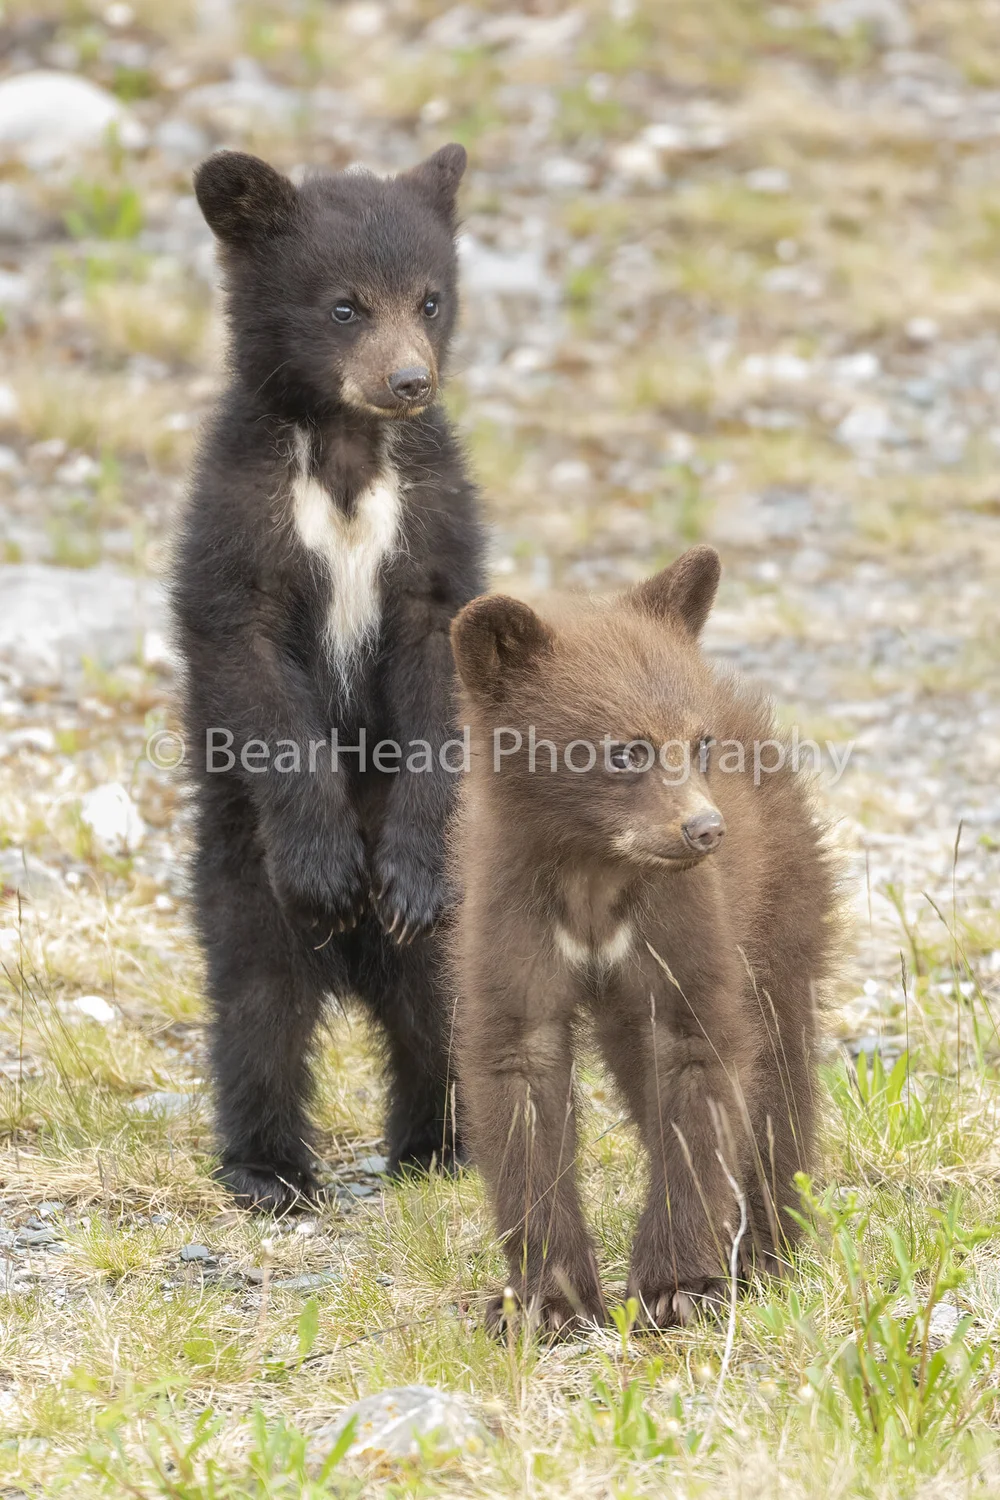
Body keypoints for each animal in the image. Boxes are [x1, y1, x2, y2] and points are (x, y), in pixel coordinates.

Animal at [170, 144, 485, 1211]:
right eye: (344, 305)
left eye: (430, 297)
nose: (409, 381)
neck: (346, 455)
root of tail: (354, 963)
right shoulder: (242, 517)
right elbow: (250, 662)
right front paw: (324, 859)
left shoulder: (432, 521)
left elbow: (443, 660)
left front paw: (407, 873)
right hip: (237, 874)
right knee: (258, 1009)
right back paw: (267, 1168)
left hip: (451, 930)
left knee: (442, 1005)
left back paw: (443, 1144)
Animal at [447, 546, 839, 1334]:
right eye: (626, 751)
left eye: (700, 743)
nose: (706, 829)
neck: (594, 875)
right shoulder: (512, 912)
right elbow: (520, 1074)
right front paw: (543, 1301)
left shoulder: (680, 919)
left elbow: (698, 1066)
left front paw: (676, 1284)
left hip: (782, 902)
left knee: (779, 1066)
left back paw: (767, 1245)